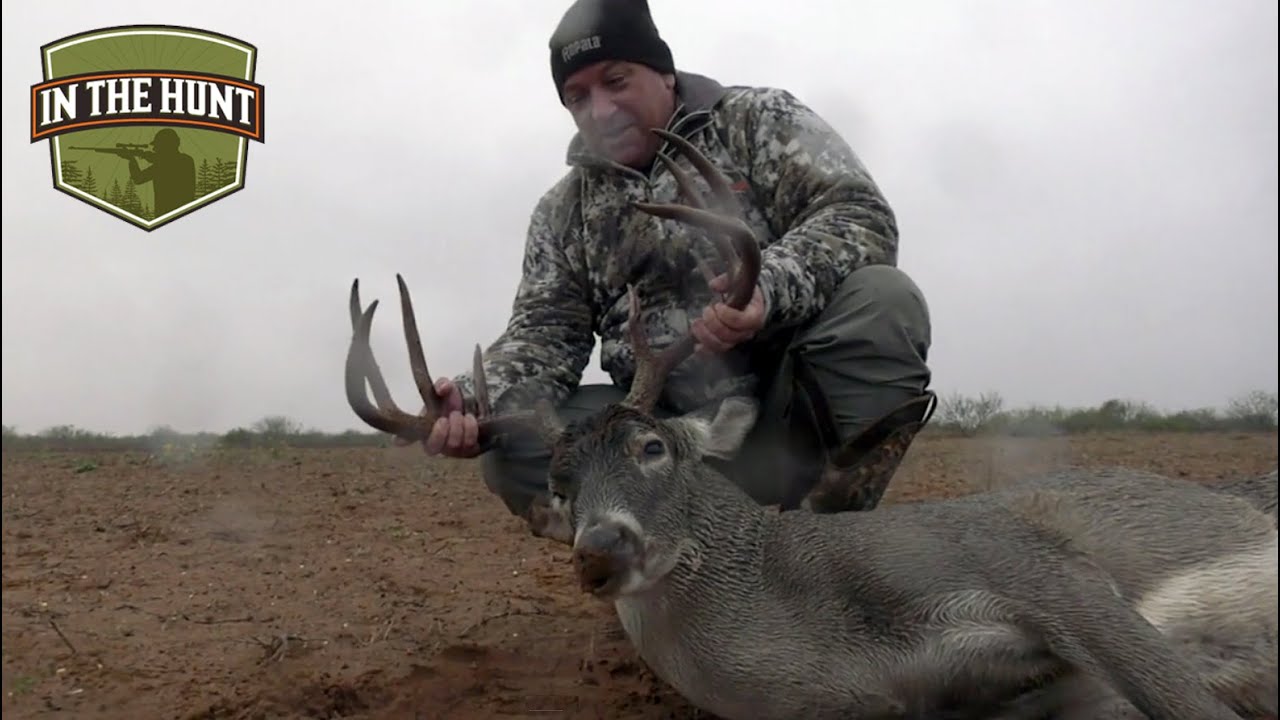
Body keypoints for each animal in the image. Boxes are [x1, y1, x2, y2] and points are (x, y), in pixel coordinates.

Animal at [343, 129, 1276, 719]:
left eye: (653, 446)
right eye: (560, 486)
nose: (598, 554)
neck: (808, 636)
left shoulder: (1034, 567)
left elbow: (1182, 698)